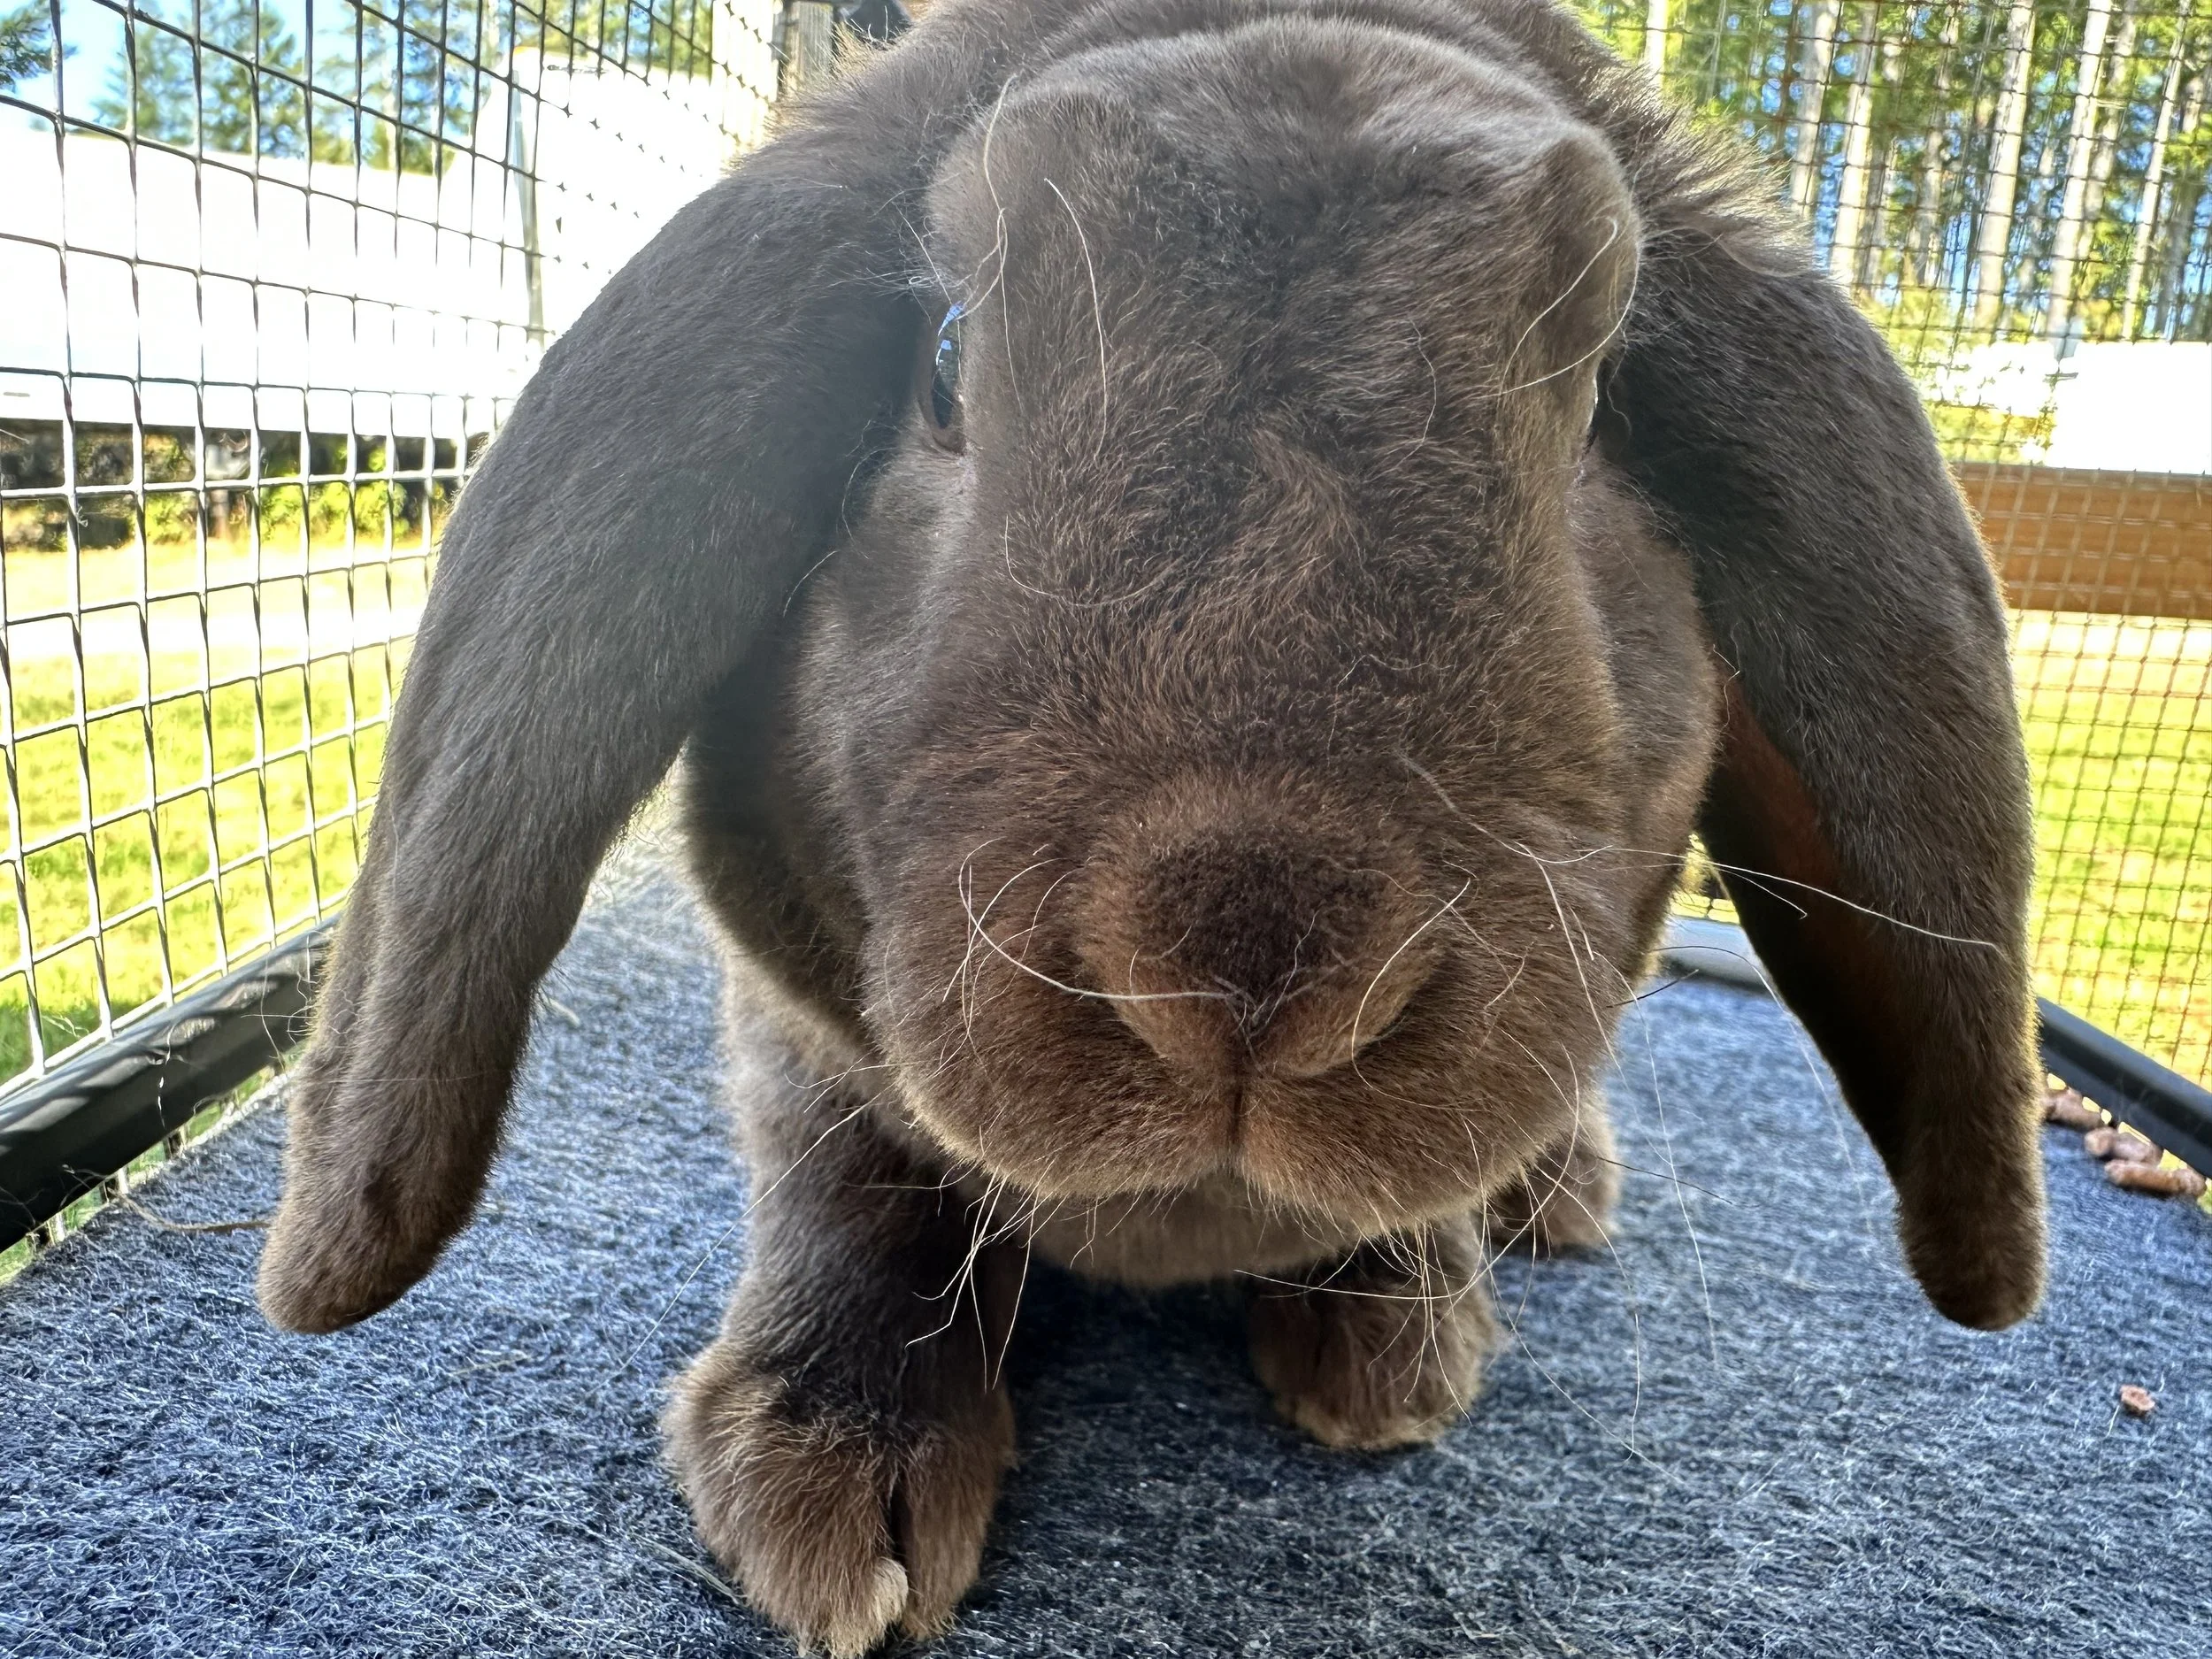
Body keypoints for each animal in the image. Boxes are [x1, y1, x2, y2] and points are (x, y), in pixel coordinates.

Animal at [254, 0, 2048, 1650]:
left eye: (1604, 402)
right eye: (945, 366)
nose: (1255, 964)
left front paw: (1397, 1341)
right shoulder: (794, 1042)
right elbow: (850, 1177)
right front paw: (835, 1476)